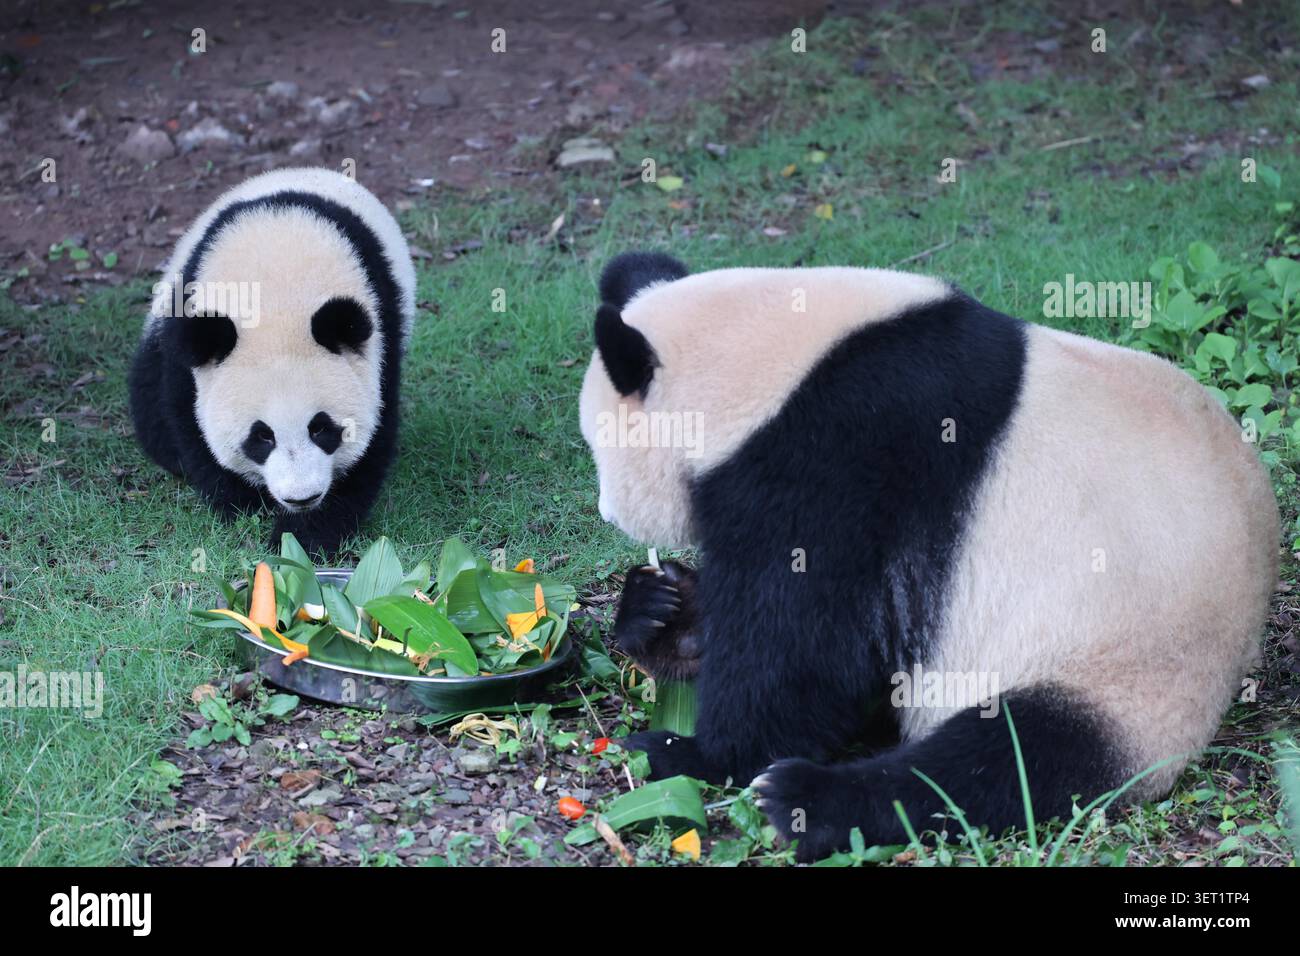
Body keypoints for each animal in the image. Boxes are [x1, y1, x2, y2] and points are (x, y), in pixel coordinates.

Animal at [128, 167, 417, 556]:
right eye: (261, 436)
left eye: (321, 428)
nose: (301, 498)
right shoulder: (189, 332)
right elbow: (189, 423)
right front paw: (242, 504)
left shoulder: (379, 340)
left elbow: (372, 441)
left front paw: (302, 537)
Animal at [579, 251, 1279, 861]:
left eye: (594, 446)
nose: (608, 509)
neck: (767, 367)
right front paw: (660, 610)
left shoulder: (838, 457)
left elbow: (801, 641)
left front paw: (693, 754)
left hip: (1125, 666)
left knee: (1006, 759)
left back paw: (809, 799)